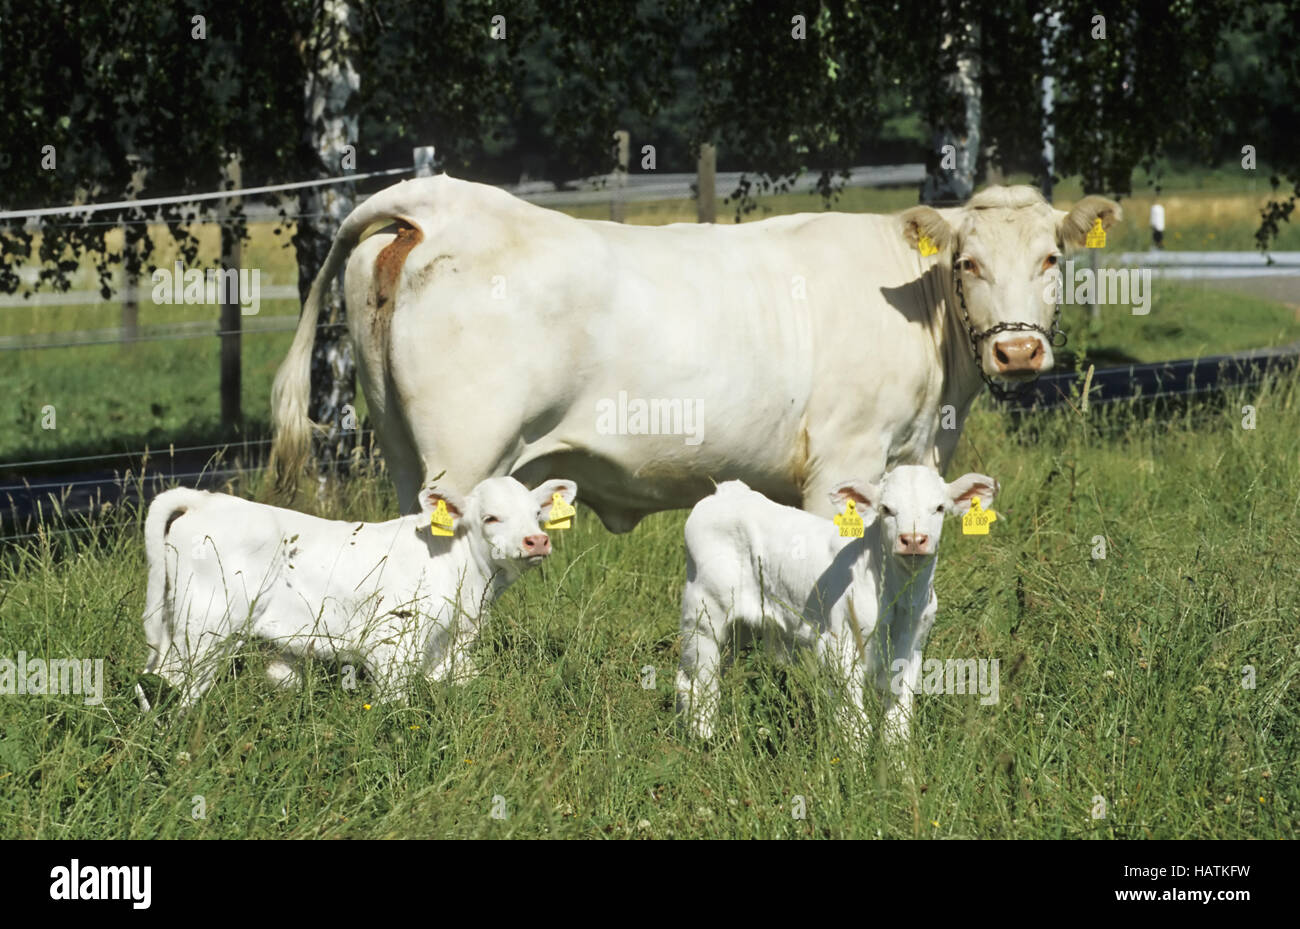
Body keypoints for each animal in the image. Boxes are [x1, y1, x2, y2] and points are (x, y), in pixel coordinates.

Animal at [135, 475, 577, 711]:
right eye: (490, 517)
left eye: (537, 515)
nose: (537, 541)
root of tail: (204, 500)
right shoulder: (393, 646)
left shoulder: (446, 652)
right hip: (204, 629)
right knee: (170, 685)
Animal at [269, 177, 1114, 528]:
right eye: (968, 261)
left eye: (1051, 258)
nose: (1016, 352)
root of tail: (440, 202)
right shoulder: (841, 462)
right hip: (466, 452)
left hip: (402, 450)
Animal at [675, 465, 998, 743]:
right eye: (886, 509)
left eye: (939, 508)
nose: (914, 539)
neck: (899, 597)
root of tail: (728, 492)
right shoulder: (838, 645)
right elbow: (855, 721)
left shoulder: (912, 647)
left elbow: (897, 721)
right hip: (703, 615)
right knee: (697, 682)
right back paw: (704, 741)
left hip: (739, 628)